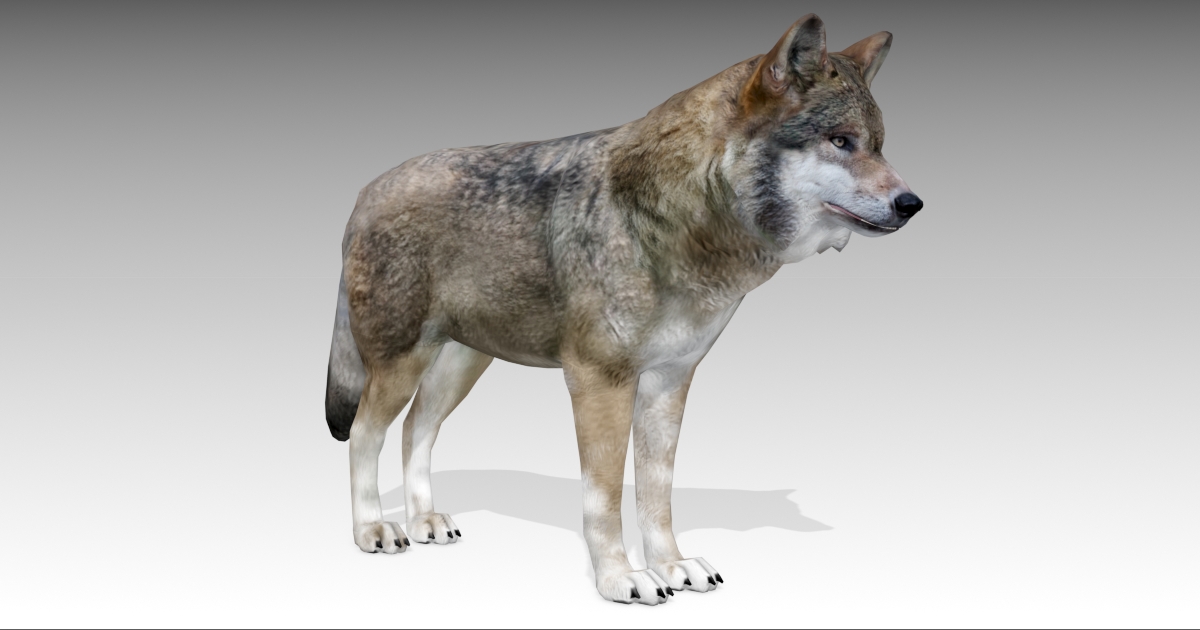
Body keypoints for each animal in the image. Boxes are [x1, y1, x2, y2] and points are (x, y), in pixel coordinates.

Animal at [324, 14, 922, 605]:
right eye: (841, 141)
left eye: (879, 146)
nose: (912, 204)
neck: (678, 218)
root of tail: (364, 192)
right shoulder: (600, 382)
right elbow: (604, 498)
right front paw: (618, 578)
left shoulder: (668, 382)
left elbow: (656, 496)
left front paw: (673, 566)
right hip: (401, 367)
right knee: (364, 434)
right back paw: (373, 529)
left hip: (459, 368)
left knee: (415, 431)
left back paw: (426, 521)